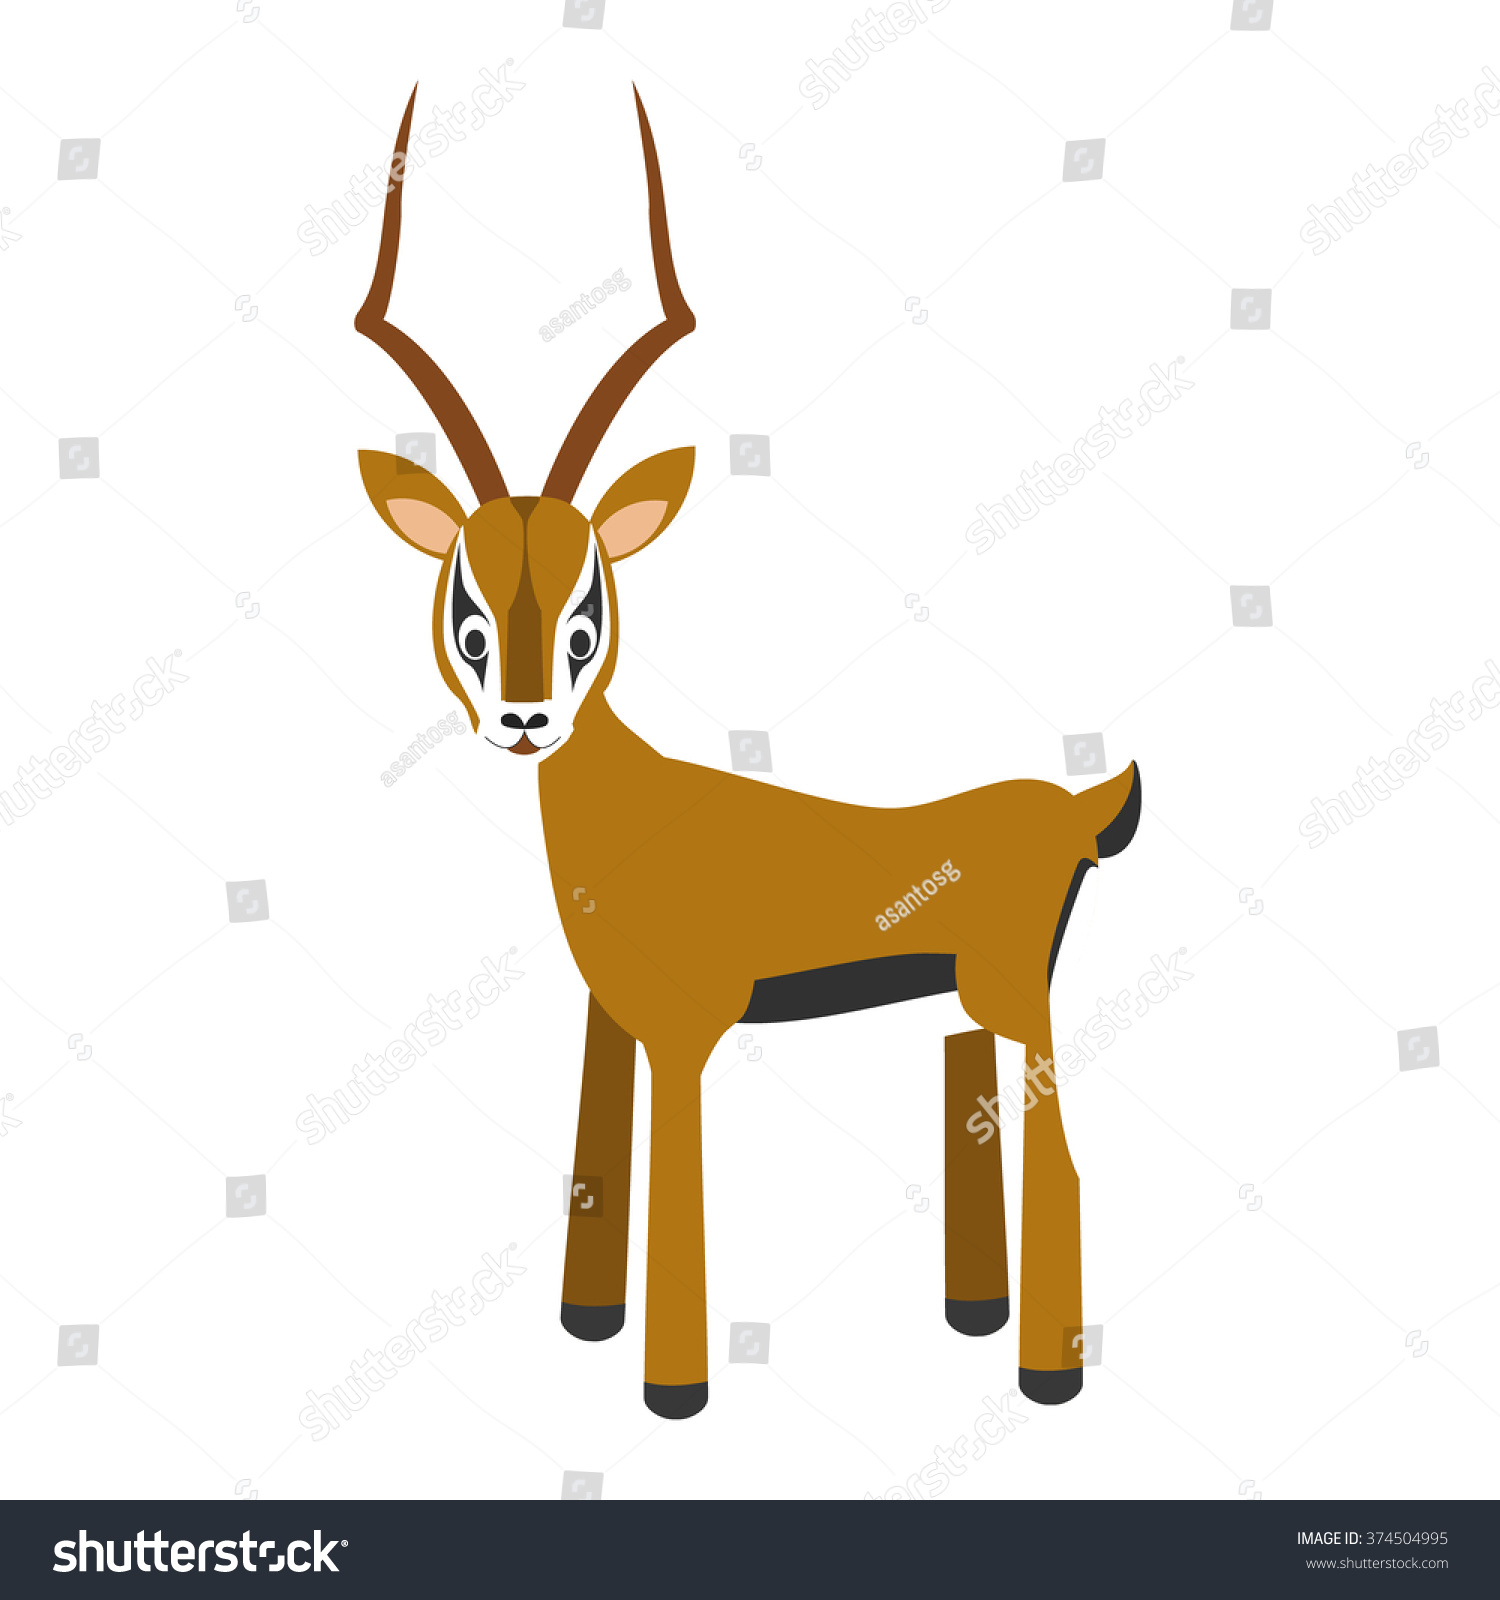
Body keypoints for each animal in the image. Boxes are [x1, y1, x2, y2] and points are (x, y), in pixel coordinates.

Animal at [355, 84, 1142, 1419]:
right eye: (467, 605)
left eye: (586, 609)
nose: (526, 720)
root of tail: (1089, 801)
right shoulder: (608, 1021)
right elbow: (595, 1170)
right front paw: (584, 1329)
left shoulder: (686, 1032)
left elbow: (678, 1194)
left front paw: (673, 1395)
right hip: (964, 1014)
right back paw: (973, 1321)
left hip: (1016, 1003)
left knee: (1075, 1168)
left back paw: (1046, 1378)